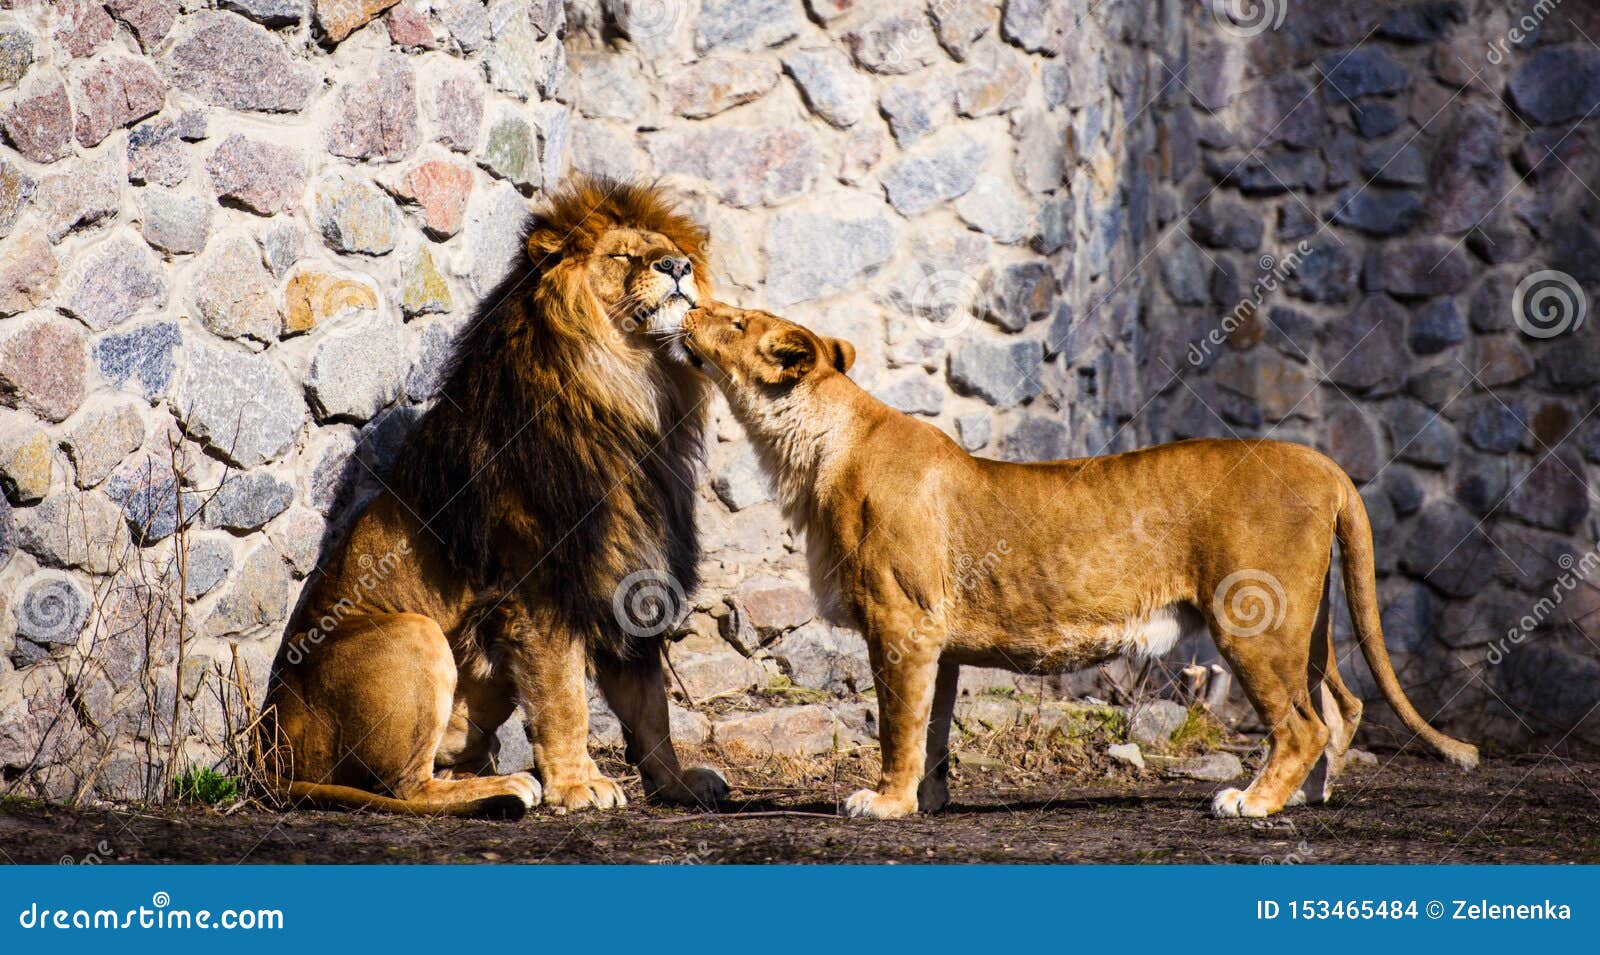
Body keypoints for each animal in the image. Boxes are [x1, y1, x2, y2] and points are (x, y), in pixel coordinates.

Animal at [260, 177, 728, 816]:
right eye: (621, 256)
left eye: (671, 251)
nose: (678, 267)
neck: (633, 395)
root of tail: (266, 755)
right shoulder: (540, 588)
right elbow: (565, 699)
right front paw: (579, 785)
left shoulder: (628, 574)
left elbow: (651, 710)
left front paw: (677, 785)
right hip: (415, 632)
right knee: (406, 787)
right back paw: (506, 788)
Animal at [680, 301, 1479, 820]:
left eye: (736, 322)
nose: (687, 301)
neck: (809, 450)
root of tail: (1324, 464)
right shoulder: (939, 641)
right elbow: (933, 727)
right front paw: (930, 800)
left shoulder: (901, 625)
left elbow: (899, 725)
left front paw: (885, 803)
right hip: (1307, 626)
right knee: (1340, 706)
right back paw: (1309, 796)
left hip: (1253, 619)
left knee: (1304, 722)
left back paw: (1251, 802)